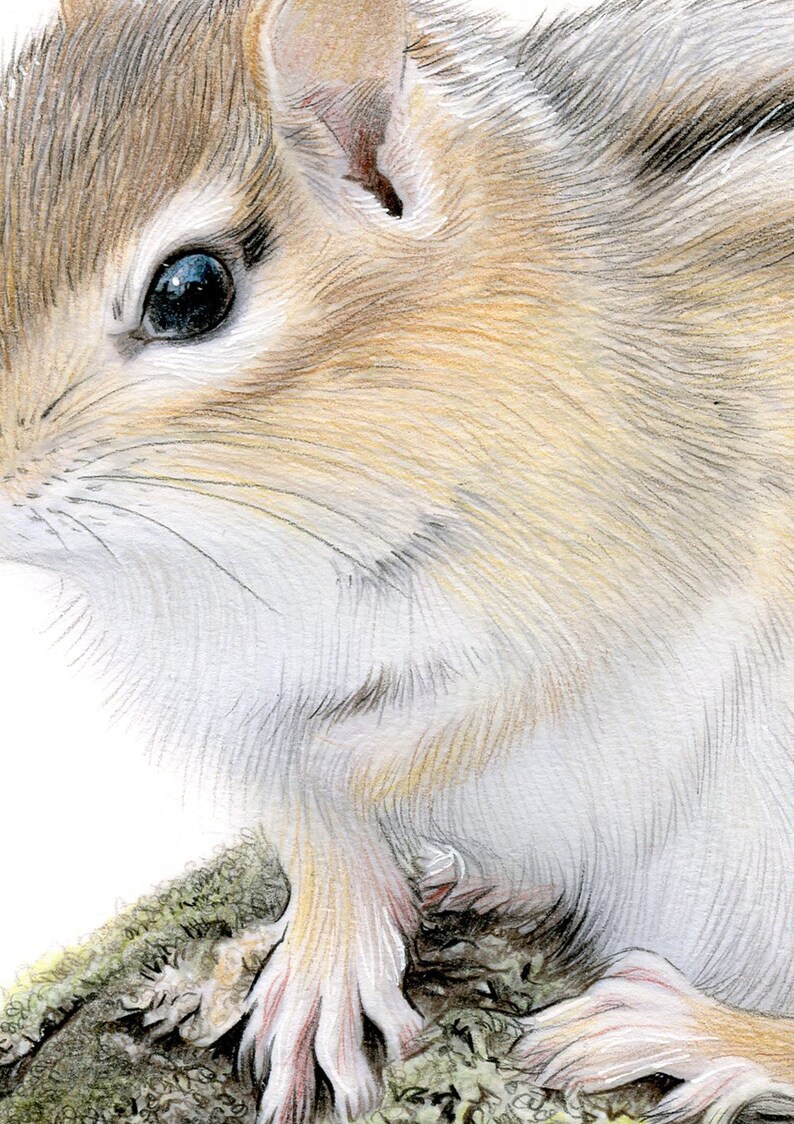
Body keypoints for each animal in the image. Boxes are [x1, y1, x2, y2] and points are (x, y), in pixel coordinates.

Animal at [2, 0, 794, 1120]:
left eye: (190, 291)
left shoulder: (621, 579)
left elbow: (430, 728)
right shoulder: (215, 693)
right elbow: (301, 810)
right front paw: (327, 954)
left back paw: (695, 1029)